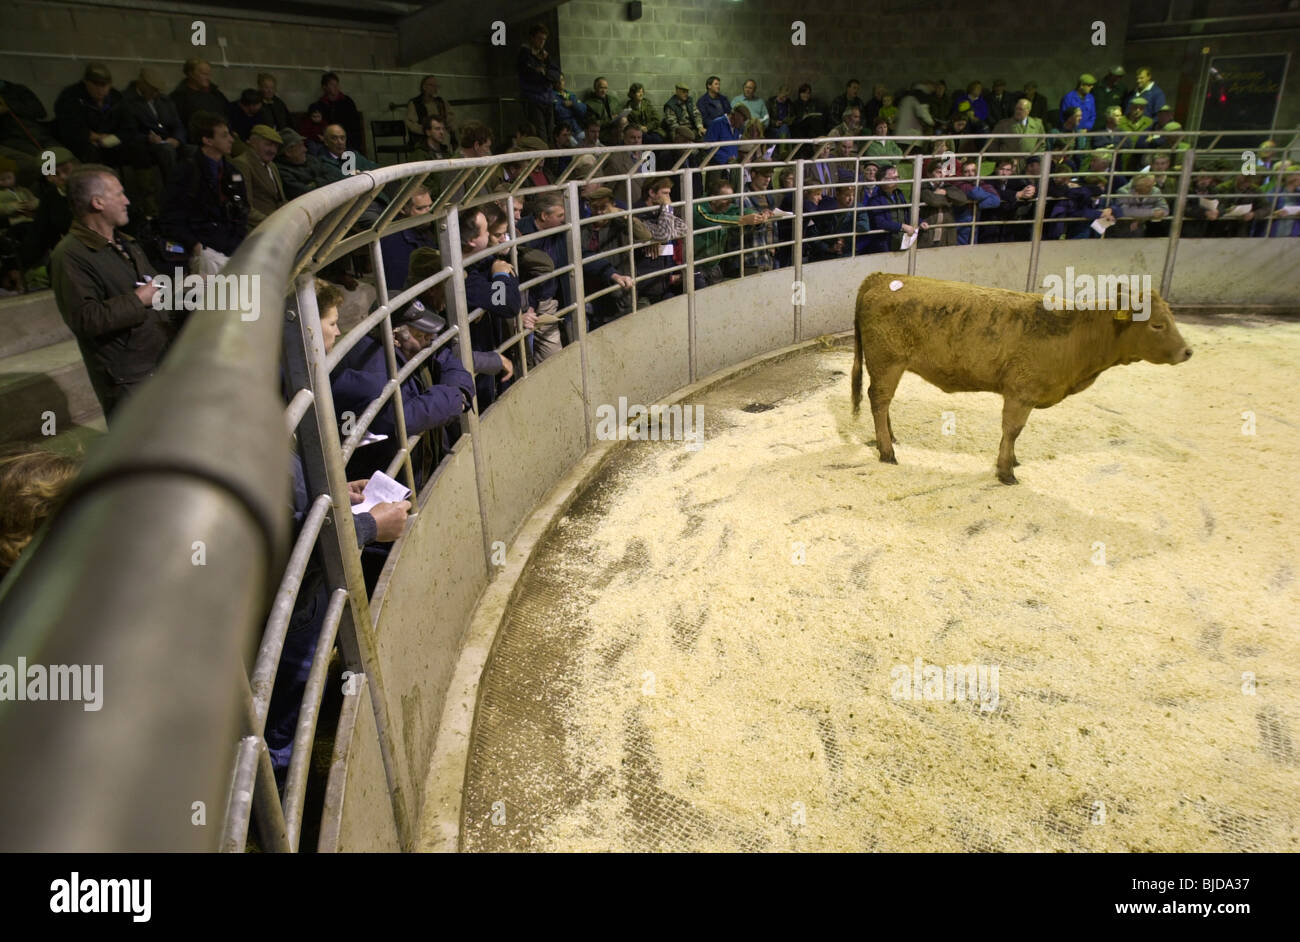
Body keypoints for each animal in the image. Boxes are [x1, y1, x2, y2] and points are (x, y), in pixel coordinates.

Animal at [850, 273, 1192, 484]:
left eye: (1171, 318)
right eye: (1157, 325)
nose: (1187, 352)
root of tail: (883, 277)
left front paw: (1012, 461)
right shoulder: (1021, 391)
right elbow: (1012, 430)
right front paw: (1005, 471)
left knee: (882, 402)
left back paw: (889, 438)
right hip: (887, 361)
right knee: (879, 399)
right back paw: (887, 451)